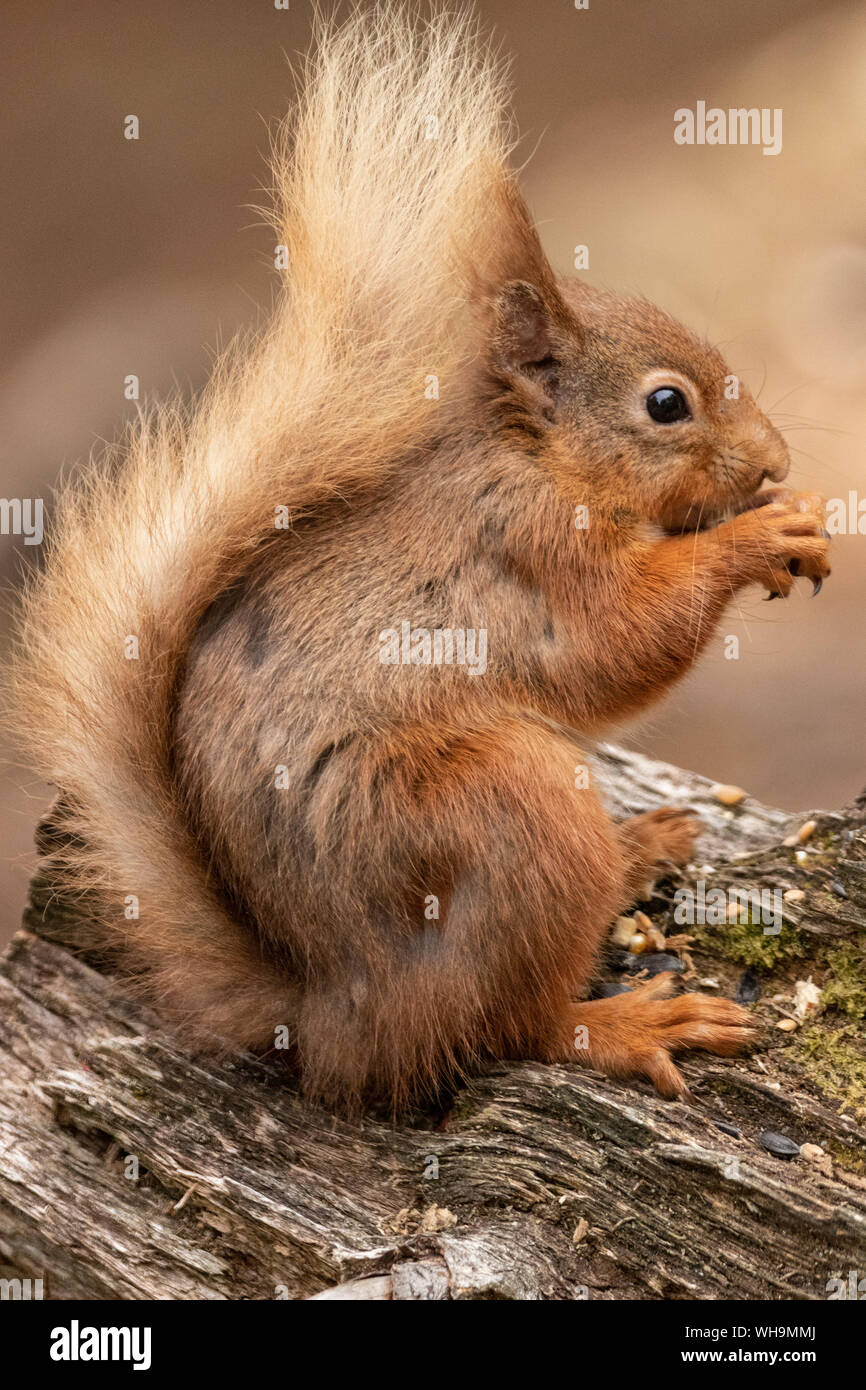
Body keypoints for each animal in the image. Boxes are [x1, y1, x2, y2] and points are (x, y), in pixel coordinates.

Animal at [11, 6, 831, 1112]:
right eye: (667, 404)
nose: (774, 462)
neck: (535, 456)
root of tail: (332, 1020)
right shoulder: (529, 546)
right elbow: (615, 646)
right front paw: (758, 536)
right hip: (500, 809)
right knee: (511, 1027)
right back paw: (625, 1018)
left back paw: (639, 847)